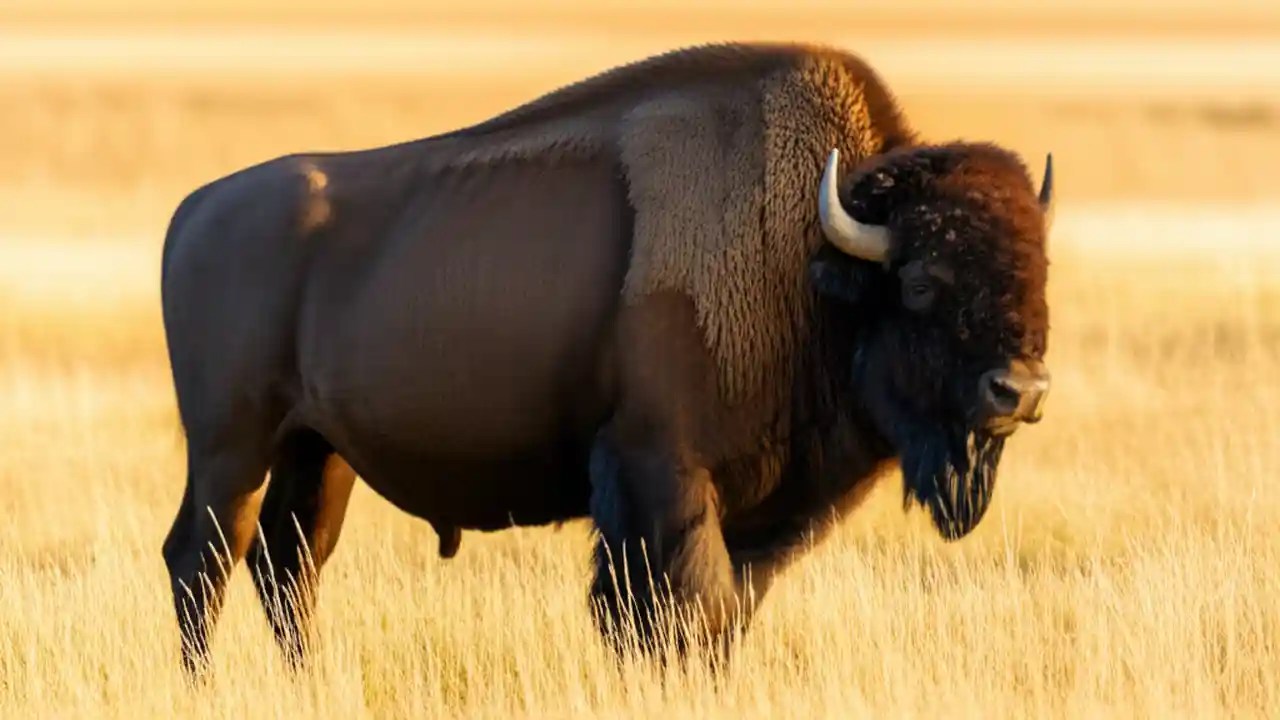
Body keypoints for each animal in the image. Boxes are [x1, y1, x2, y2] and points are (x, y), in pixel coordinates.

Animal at [159, 41, 1053, 673]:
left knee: (289, 564)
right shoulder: (660, 472)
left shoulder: (761, 519)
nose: (1019, 391)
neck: (806, 256)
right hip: (231, 448)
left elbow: (719, 616)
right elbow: (670, 611)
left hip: (320, 453)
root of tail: (195, 210)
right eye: (922, 282)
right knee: (203, 558)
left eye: (1041, 271)